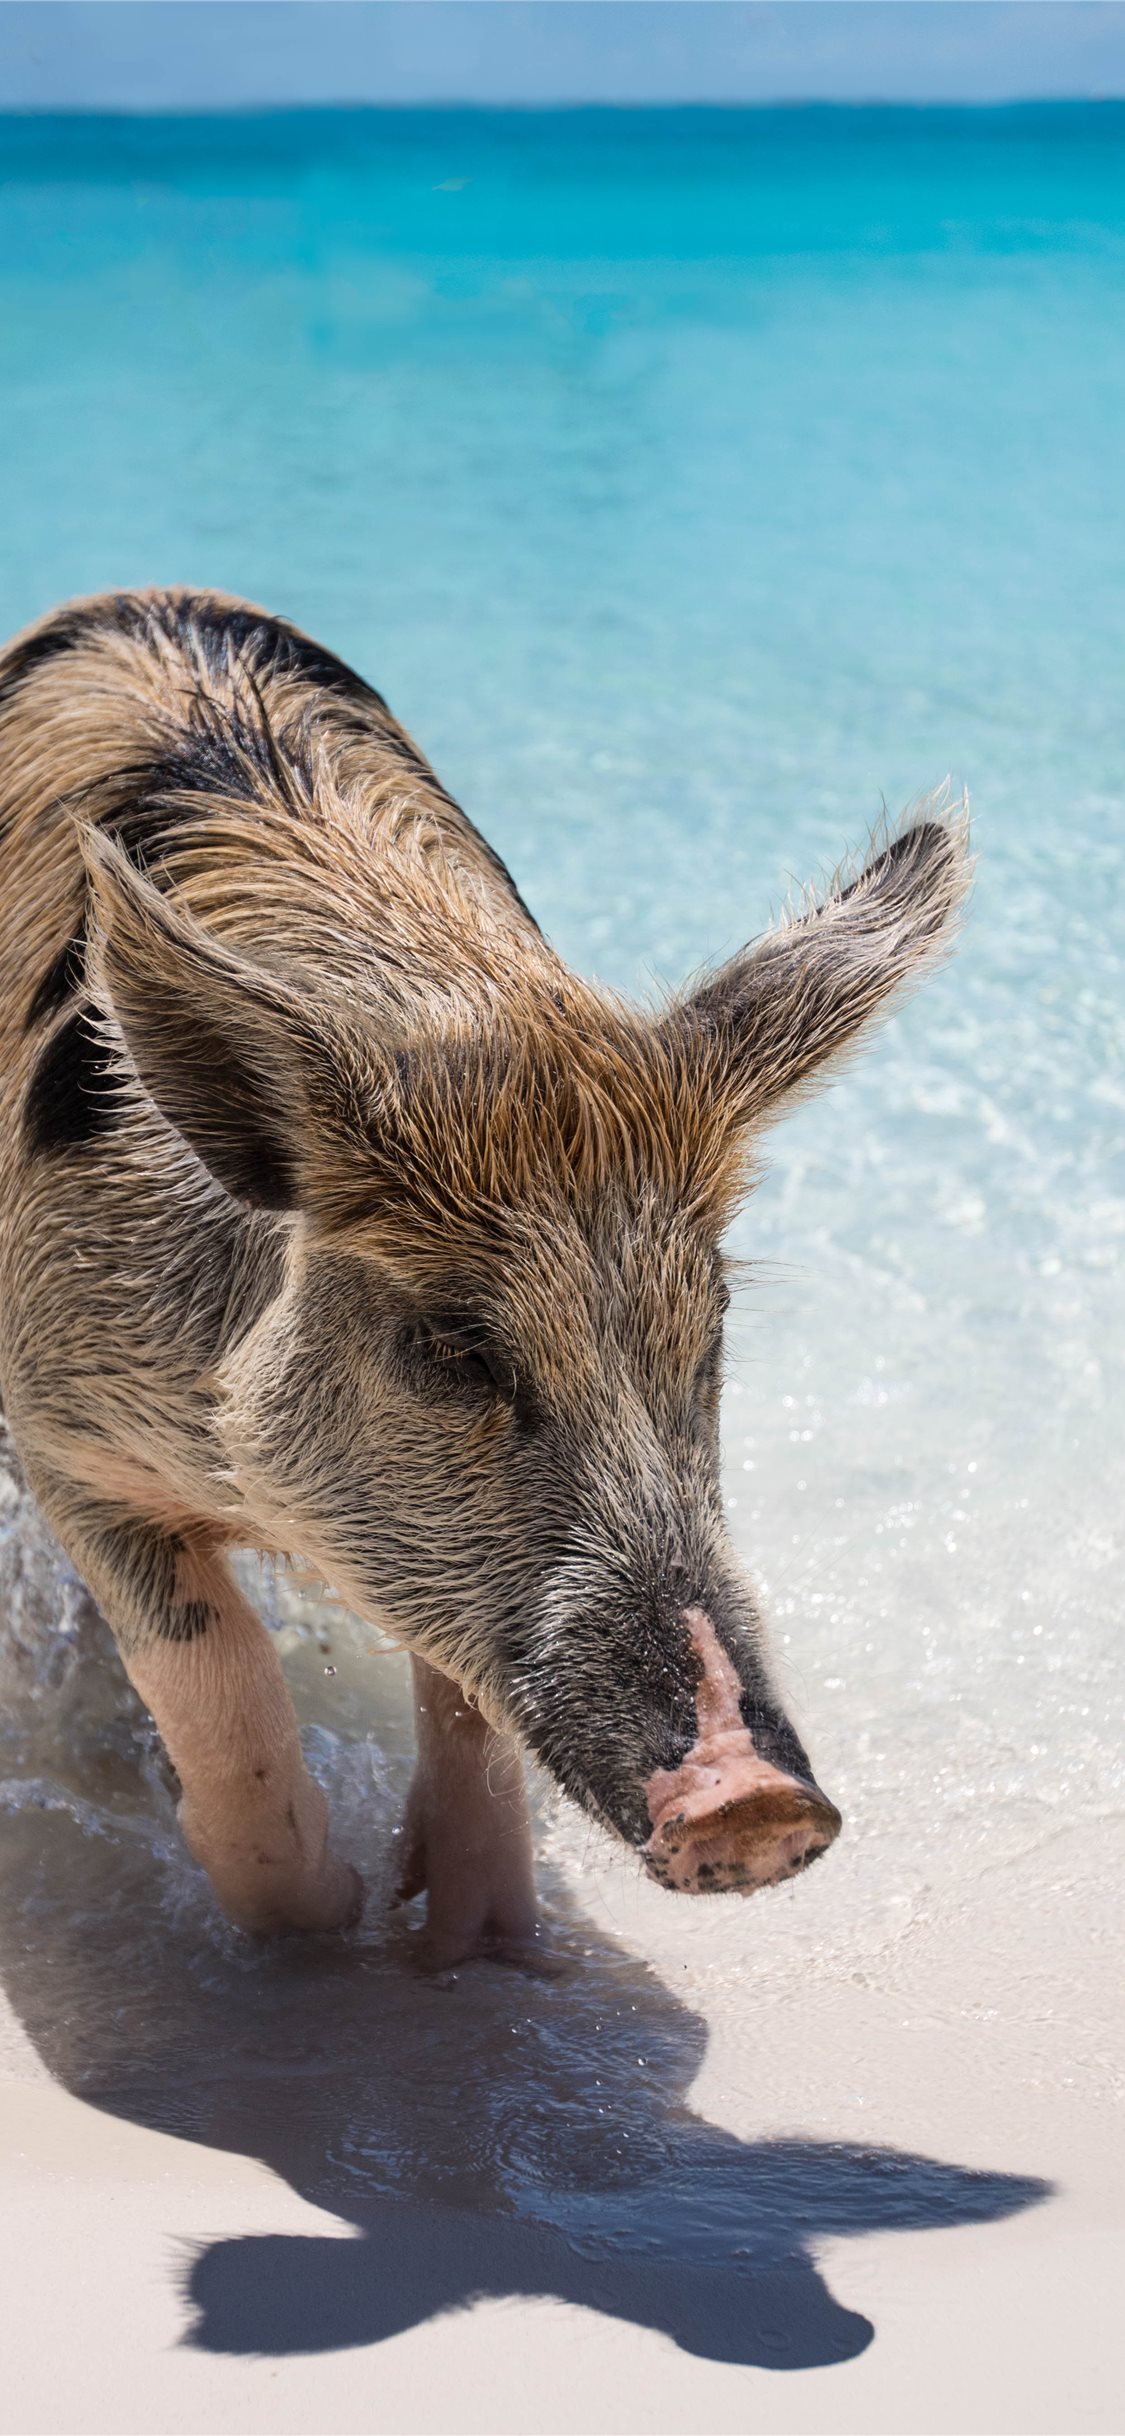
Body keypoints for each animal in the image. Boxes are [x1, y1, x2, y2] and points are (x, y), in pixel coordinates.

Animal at [0, 589, 969, 1968]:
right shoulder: (61, 1422)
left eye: (710, 1332)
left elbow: (461, 1694)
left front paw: (468, 1937)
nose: (756, 1802)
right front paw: (326, 1915)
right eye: (454, 1348)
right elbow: (212, 1671)